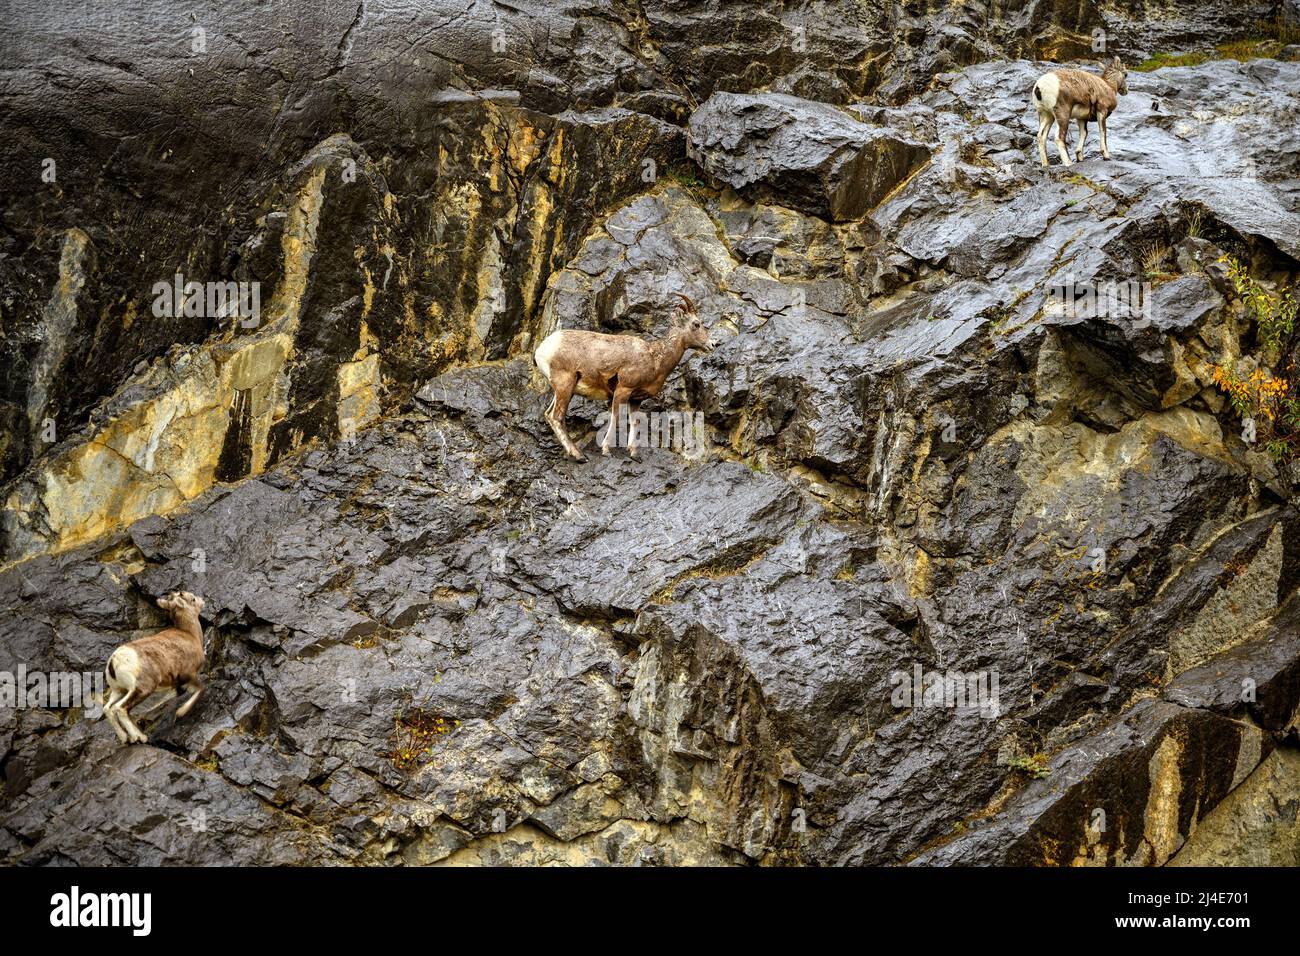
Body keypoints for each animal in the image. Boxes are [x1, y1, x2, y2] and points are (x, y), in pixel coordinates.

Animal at [102, 591, 206, 745]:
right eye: (192, 598)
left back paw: (126, 738)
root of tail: (114, 660)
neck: (191, 635)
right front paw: (180, 713)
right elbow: (201, 689)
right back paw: (140, 738)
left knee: (108, 709)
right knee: (120, 709)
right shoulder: (189, 675)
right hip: (142, 689)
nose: (202, 600)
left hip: (119, 691)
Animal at [533, 293, 713, 460]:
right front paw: (607, 450)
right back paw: (579, 456)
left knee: (549, 415)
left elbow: (635, 422)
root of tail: (542, 349)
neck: (655, 358)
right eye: (696, 324)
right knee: (557, 417)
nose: (712, 345)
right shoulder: (623, 390)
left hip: (563, 390)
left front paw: (634, 454)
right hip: (565, 385)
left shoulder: (636, 399)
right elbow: (616, 418)